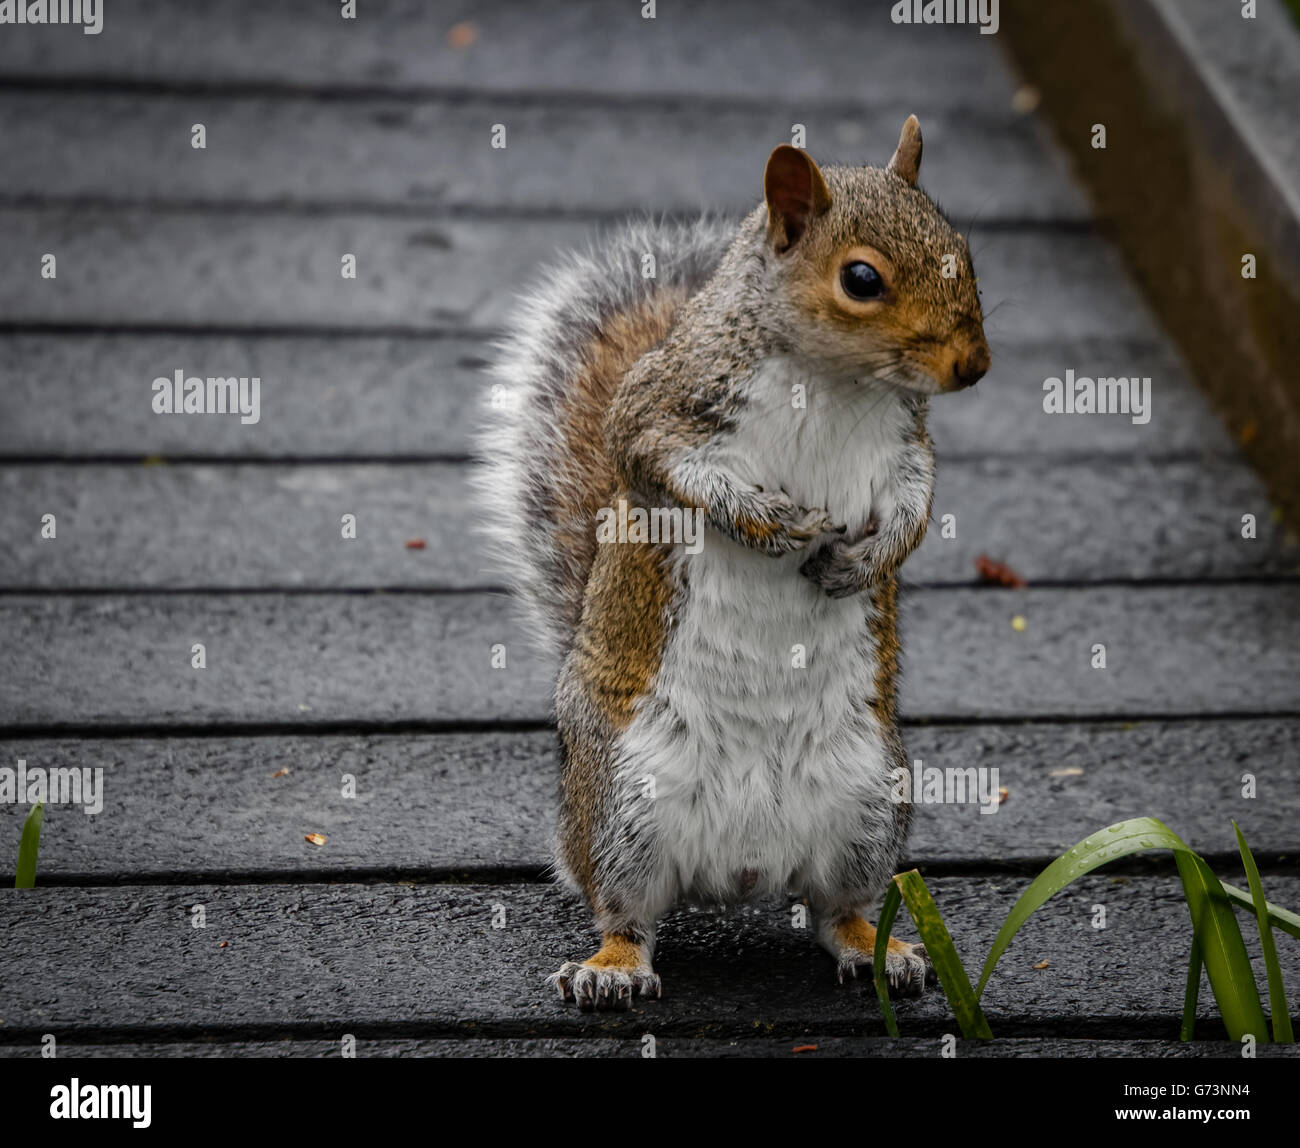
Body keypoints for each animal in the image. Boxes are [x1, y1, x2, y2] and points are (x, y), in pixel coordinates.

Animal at [476, 116, 990, 1011]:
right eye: (861, 278)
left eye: (961, 246)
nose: (974, 363)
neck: (832, 379)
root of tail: (743, 870)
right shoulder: (662, 405)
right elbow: (653, 457)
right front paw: (767, 522)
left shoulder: (906, 448)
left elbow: (916, 506)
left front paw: (868, 558)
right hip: (621, 808)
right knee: (626, 915)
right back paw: (611, 968)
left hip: (869, 801)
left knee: (838, 909)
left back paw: (880, 951)